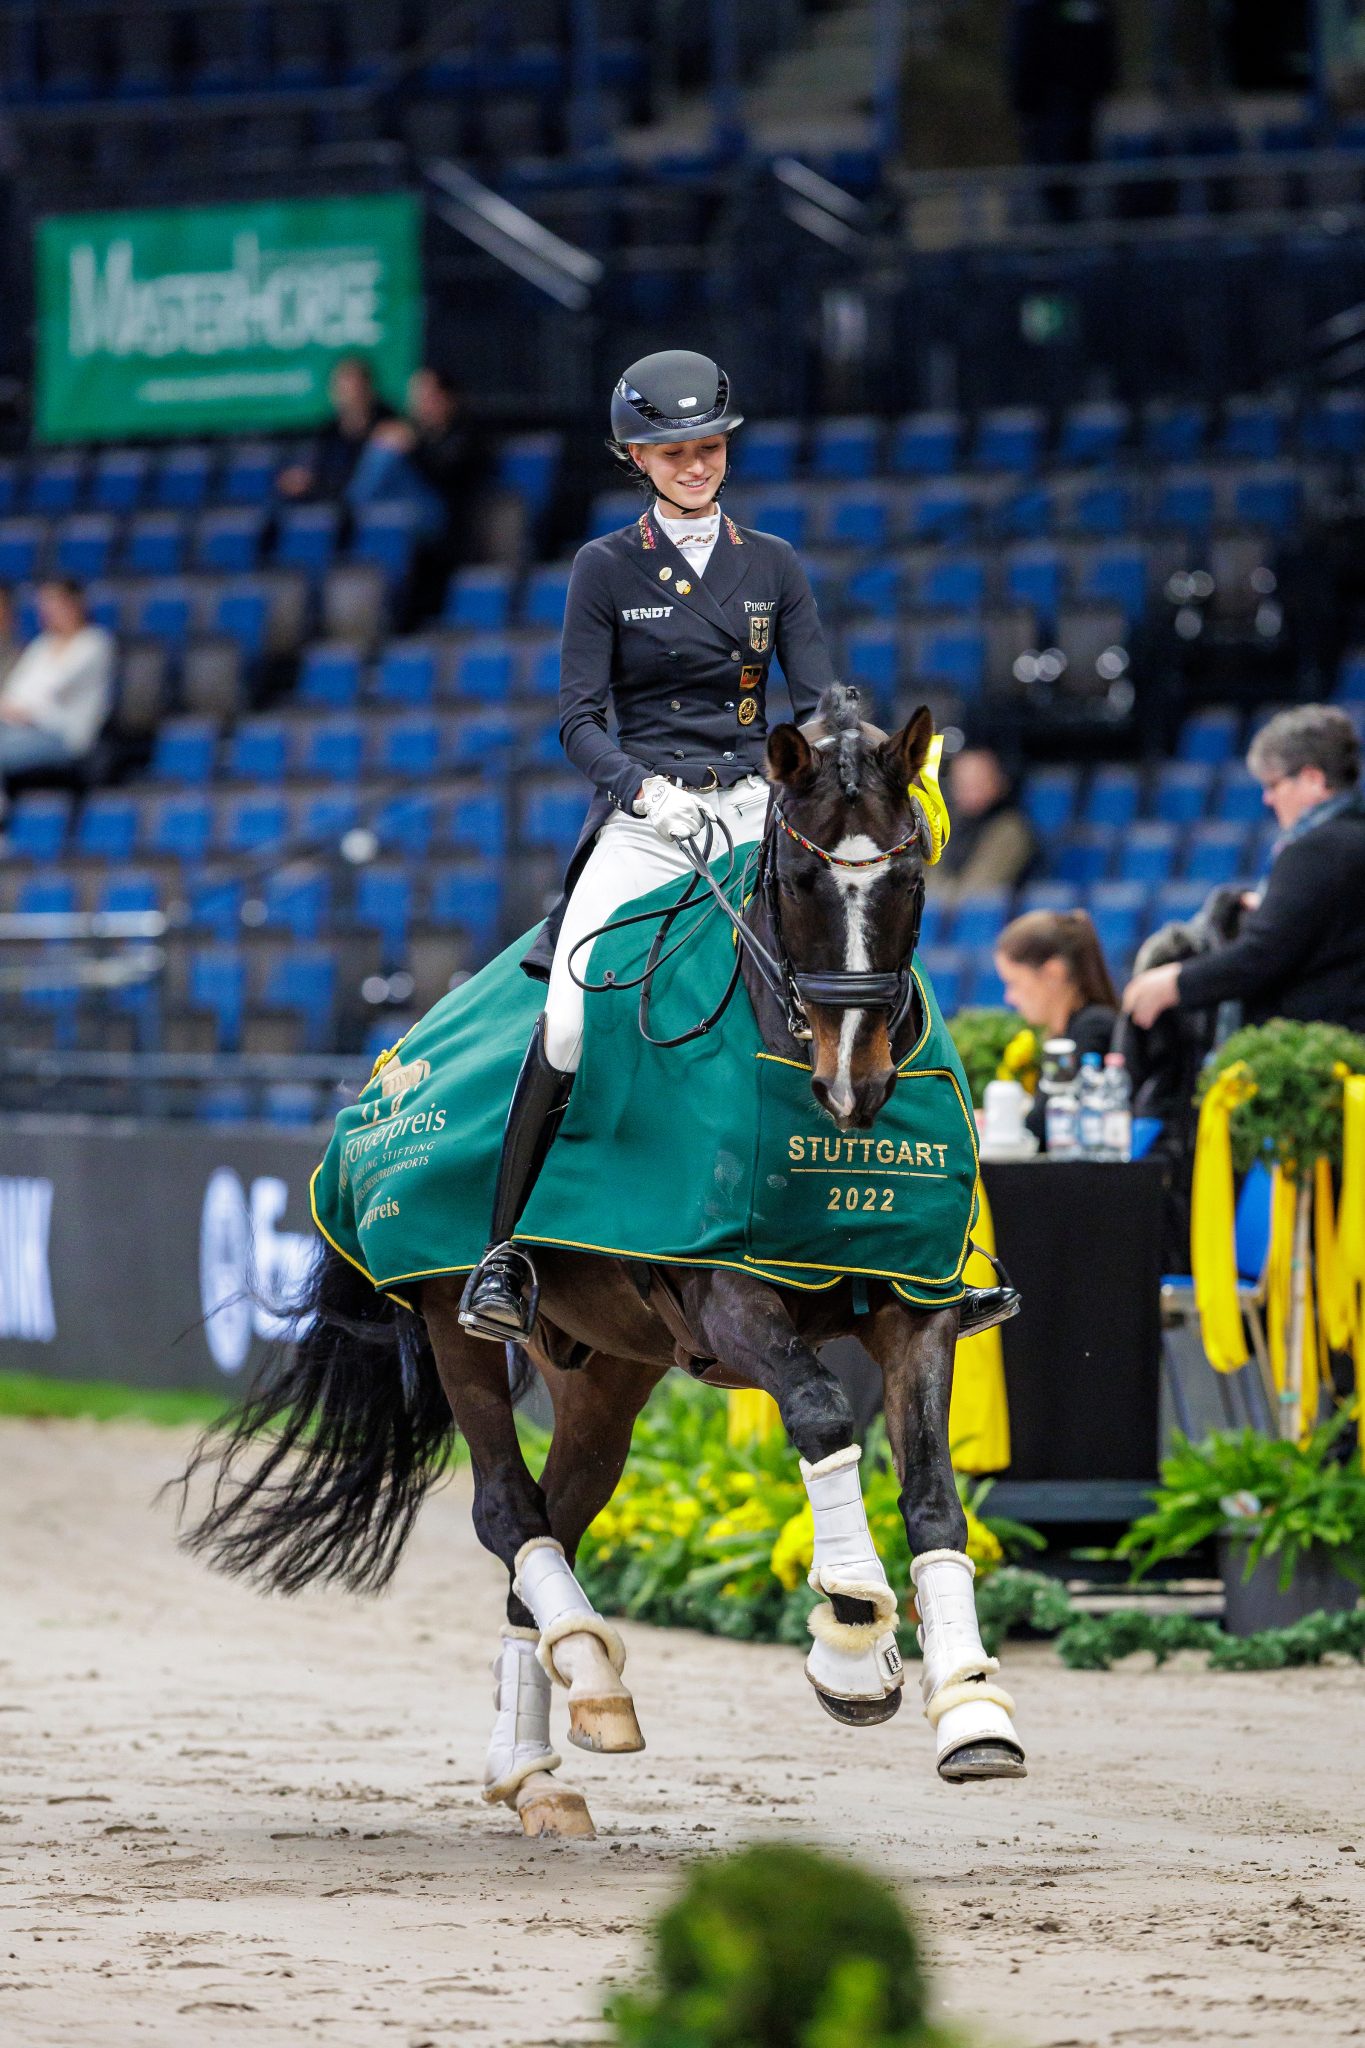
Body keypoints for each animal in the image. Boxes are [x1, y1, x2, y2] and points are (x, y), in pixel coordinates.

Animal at [180, 685, 1027, 1841]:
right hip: (450, 1317)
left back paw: (540, 1760)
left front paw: (973, 1710)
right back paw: (586, 1678)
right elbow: (818, 1413)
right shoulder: (727, 1298)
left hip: (608, 1371)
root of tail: (391, 1069)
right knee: (507, 1509)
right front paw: (852, 1641)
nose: (854, 1087)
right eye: (802, 880)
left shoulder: (916, 1305)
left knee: (552, 1520)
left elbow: (937, 1494)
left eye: (906, 877)